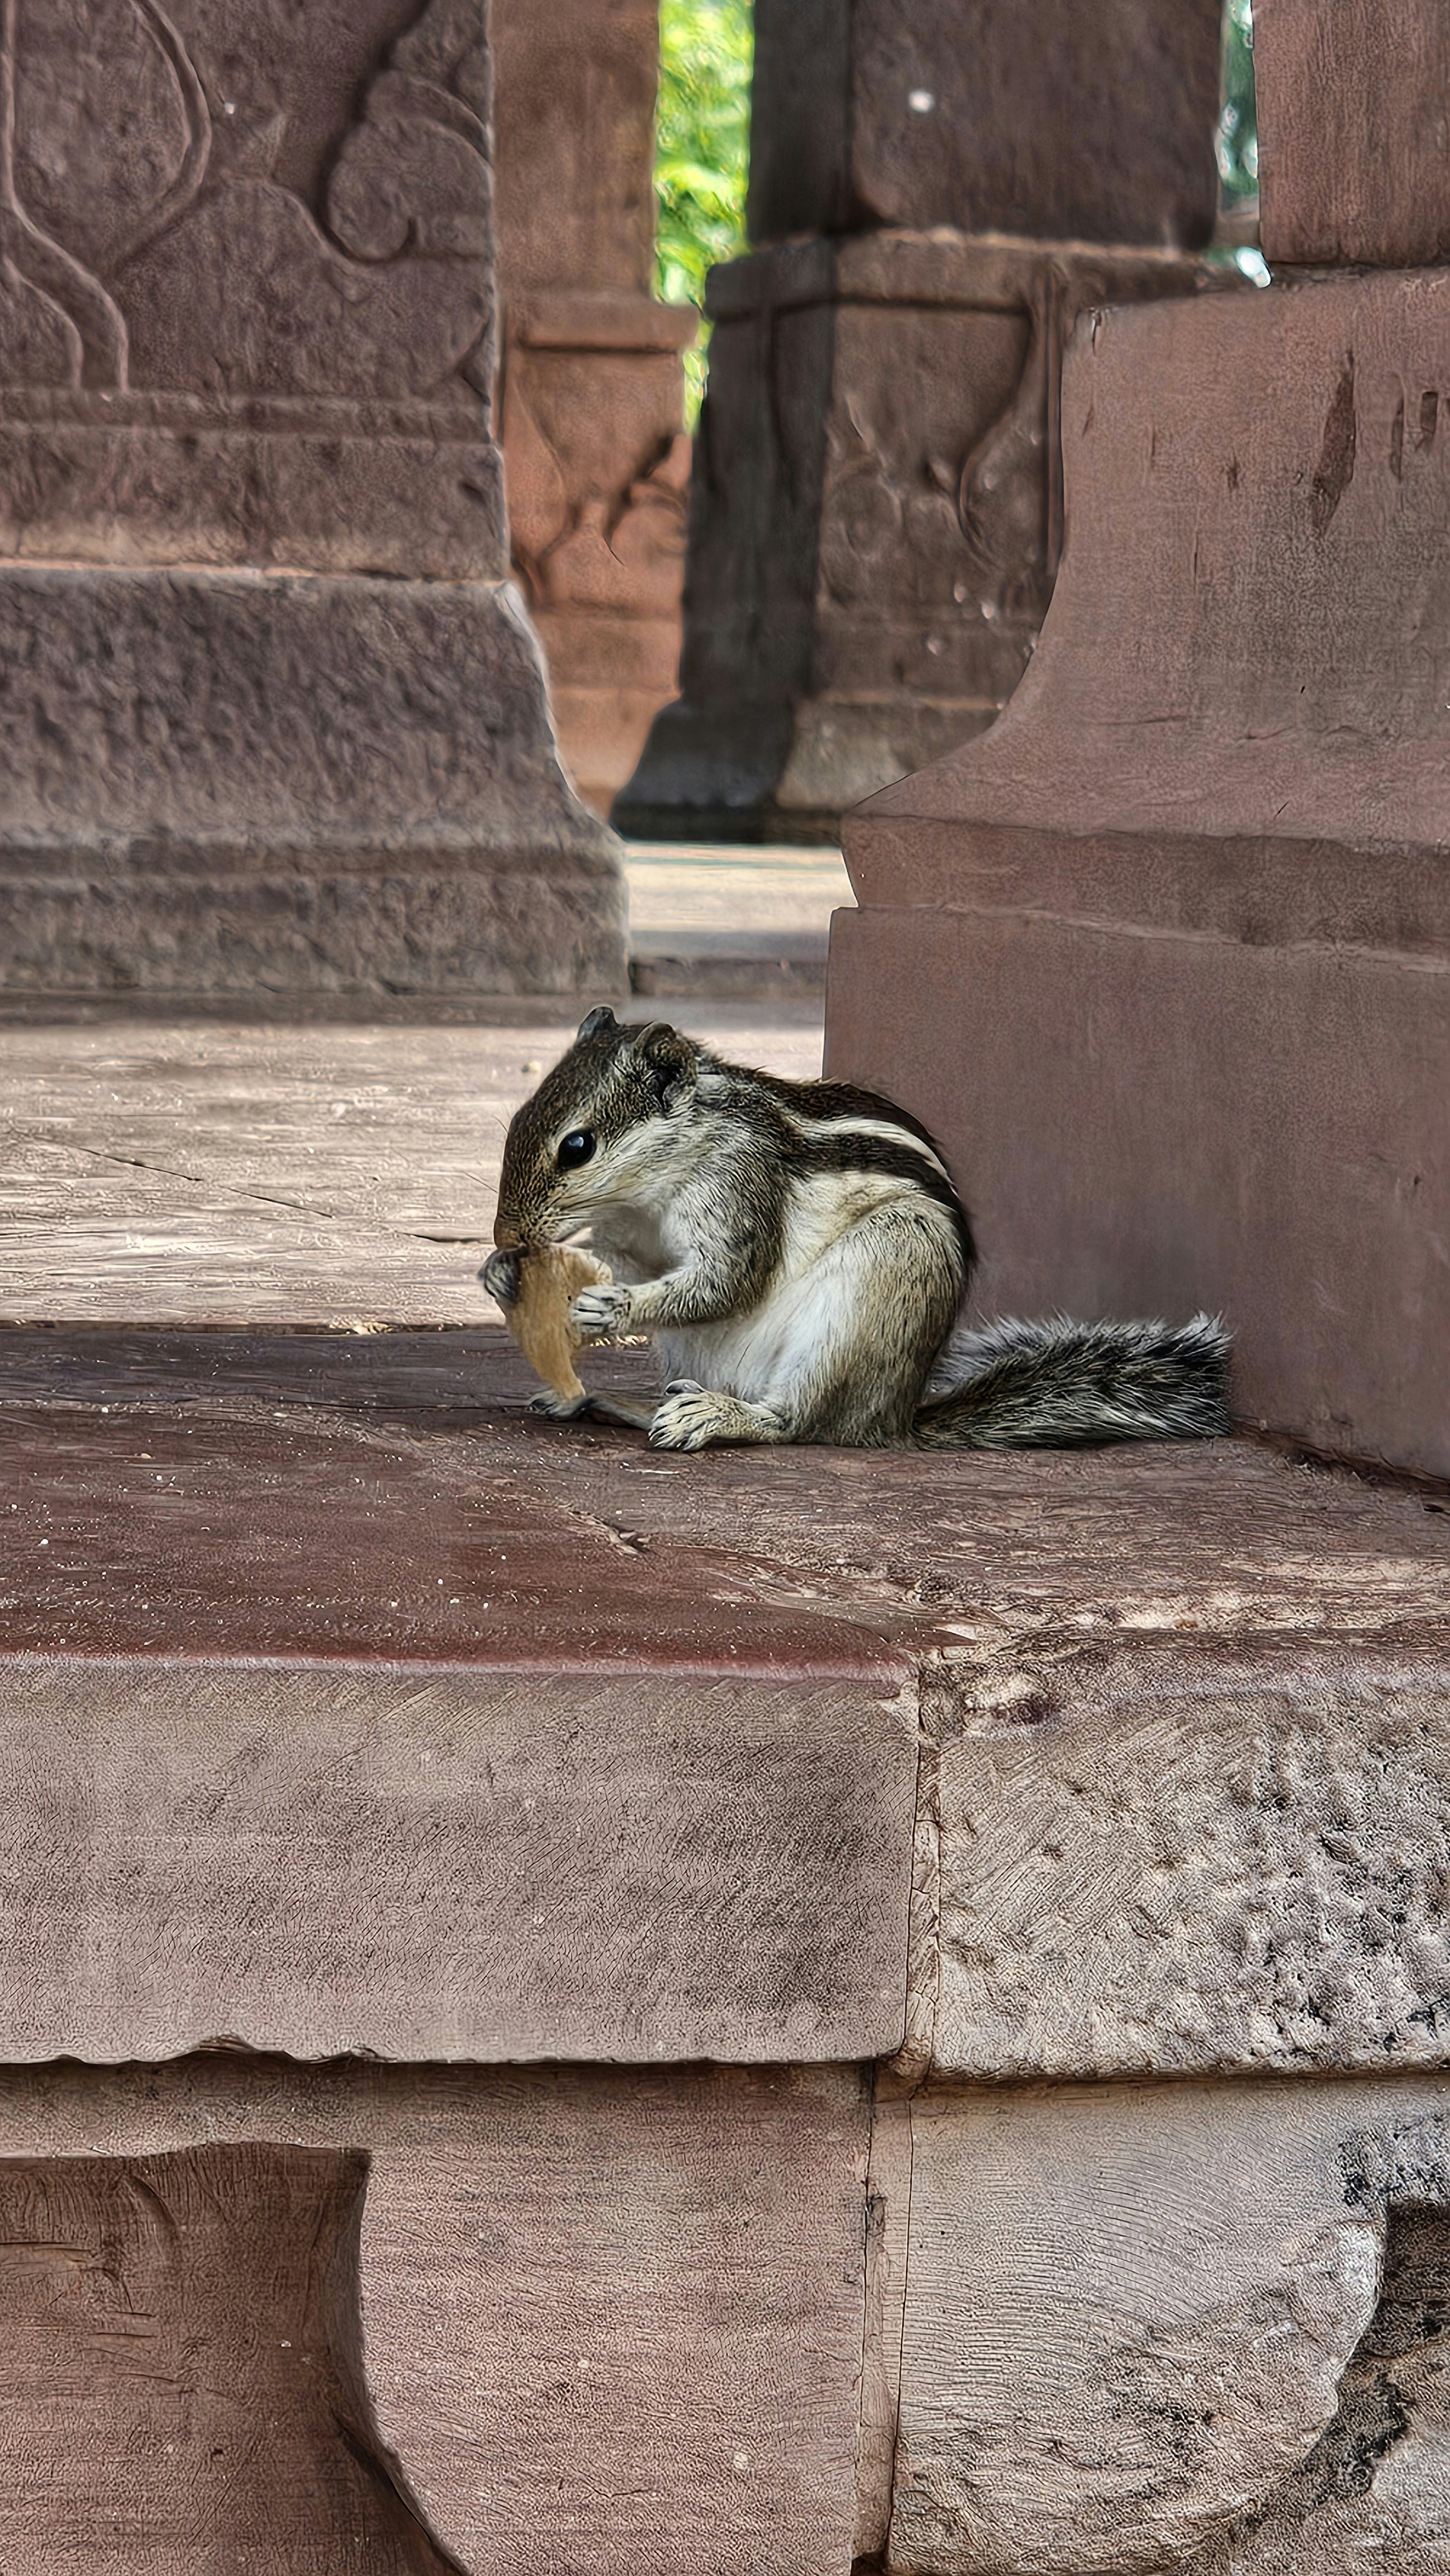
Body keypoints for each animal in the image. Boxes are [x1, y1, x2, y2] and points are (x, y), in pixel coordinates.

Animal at [481, 1006, 1230, 1454]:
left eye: (577, 1147)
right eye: (518, 1117)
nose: (506, 1233)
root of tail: (896, 1419)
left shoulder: (741, 1189)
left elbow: (725, 1283)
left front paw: (610, 1308)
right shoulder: (634, 1237)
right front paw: (501, 1277)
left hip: (875, 1285)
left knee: (798, 1424)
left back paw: (717, 1416)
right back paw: (610, 1400)